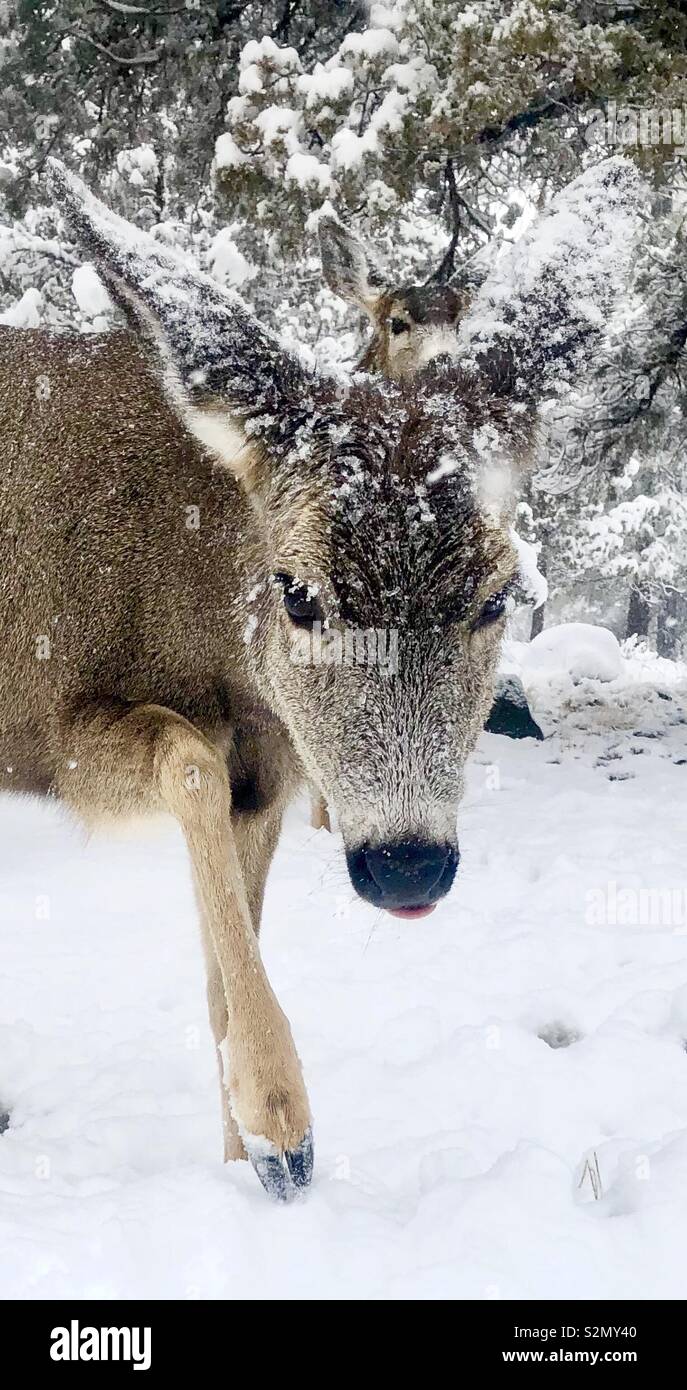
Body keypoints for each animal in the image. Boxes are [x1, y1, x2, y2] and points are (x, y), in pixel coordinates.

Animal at [0, 159, 614, 1201]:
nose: (406, 862)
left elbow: (223, 955)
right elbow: (189, 765)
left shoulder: (271, 769)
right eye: (296, 592)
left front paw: (245, 1166)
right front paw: (281, 1120)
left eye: (494, 598)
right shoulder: (51, 718)